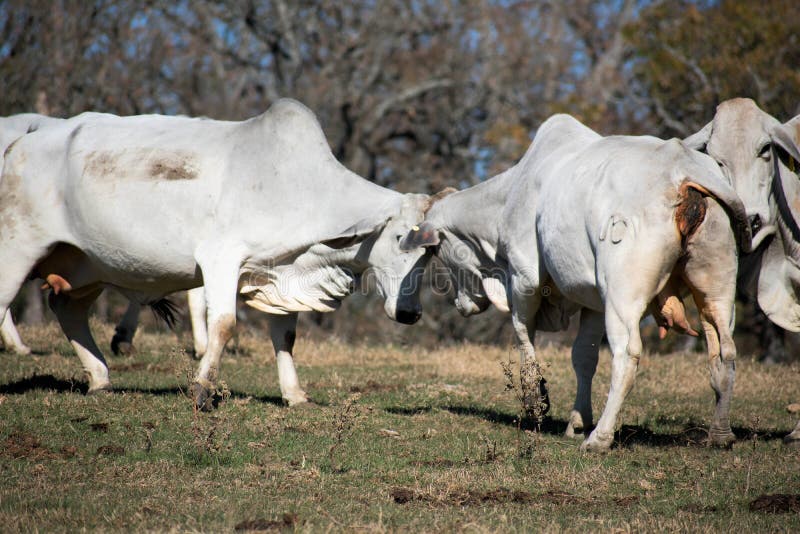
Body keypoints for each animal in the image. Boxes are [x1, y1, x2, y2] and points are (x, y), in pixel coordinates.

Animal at [405, 114, 752, 451]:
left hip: (622, 293)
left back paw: (599, 439)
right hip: (716, 285)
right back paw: (720, 435)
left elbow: (523, 336)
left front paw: (535, 399)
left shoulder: (525, 279)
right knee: (724, 350)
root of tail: (683, 169)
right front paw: (577, 421)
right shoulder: (593, 302)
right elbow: (584, 356)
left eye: (436, 250)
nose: (461, 305)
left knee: (627, 354)